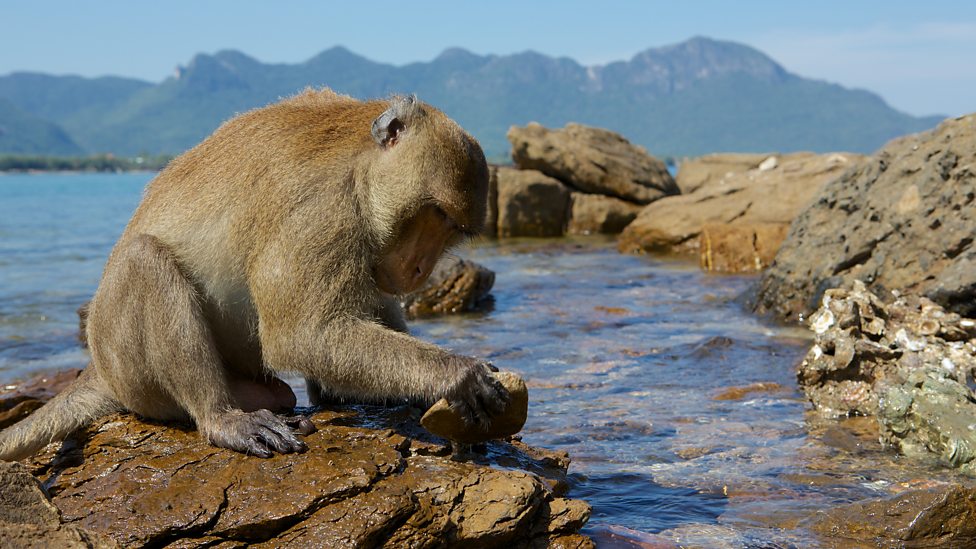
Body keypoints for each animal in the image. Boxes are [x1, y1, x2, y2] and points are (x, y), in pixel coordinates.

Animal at [0, 89, 509, 460]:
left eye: (453, 228)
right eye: (435, 213)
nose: (421, 268)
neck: (359, 166)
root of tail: (98, 370)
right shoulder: (320, 214)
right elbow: (301, 336)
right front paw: (458, 375)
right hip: (126, 365)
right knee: (144, 260)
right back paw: (222, 416)